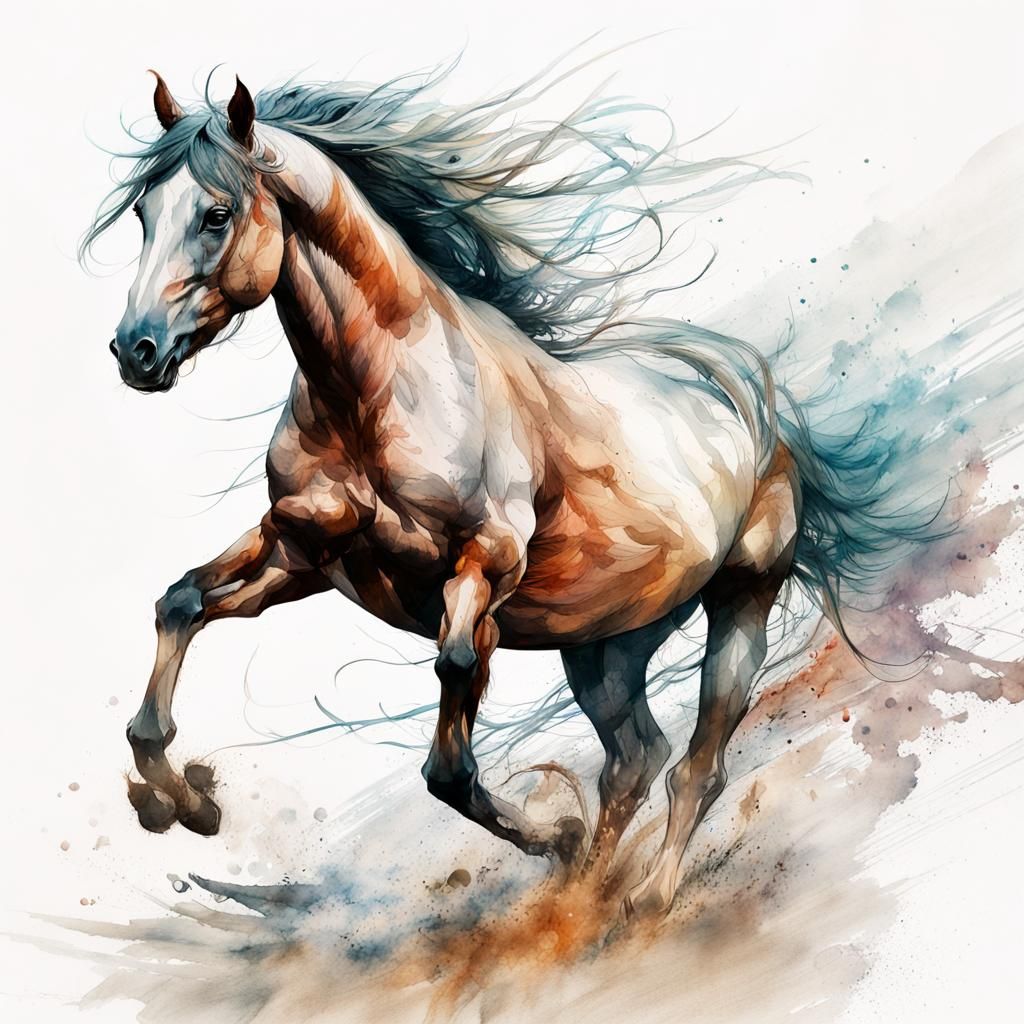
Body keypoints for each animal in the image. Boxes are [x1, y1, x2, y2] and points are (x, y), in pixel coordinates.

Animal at [87, 68, 915, 919]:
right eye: (144, 213)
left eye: (216, 213)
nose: (136, 351)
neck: (383, 391)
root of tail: (753, 404)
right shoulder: (300, 546)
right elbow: (180, 604)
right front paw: (183, 801)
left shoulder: (483, 569)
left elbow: (449, 752)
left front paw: (554, 837)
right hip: (607, 643)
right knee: (634, 758)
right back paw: (580, 899)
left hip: (741, 599)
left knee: (697, 765)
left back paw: (642, 901)